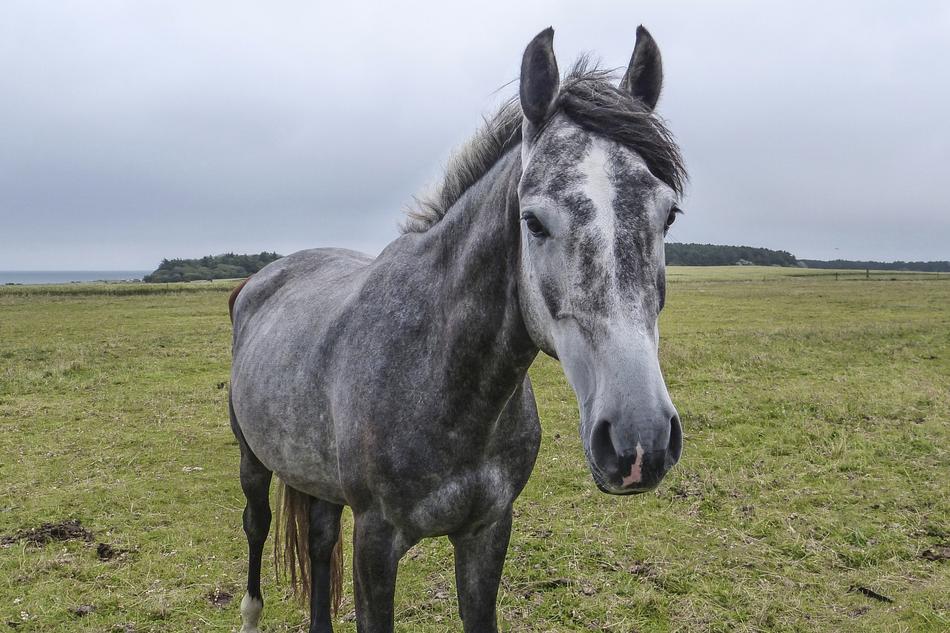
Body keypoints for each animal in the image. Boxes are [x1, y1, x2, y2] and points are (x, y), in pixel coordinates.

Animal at [228, 25, 686, 633]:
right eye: (533, 221)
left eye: (668, 215)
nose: (640, 443)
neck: (441, 376)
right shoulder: (376, 543)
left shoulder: (487, 531)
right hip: (253, 460)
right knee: (256, 525)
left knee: (320, 540)